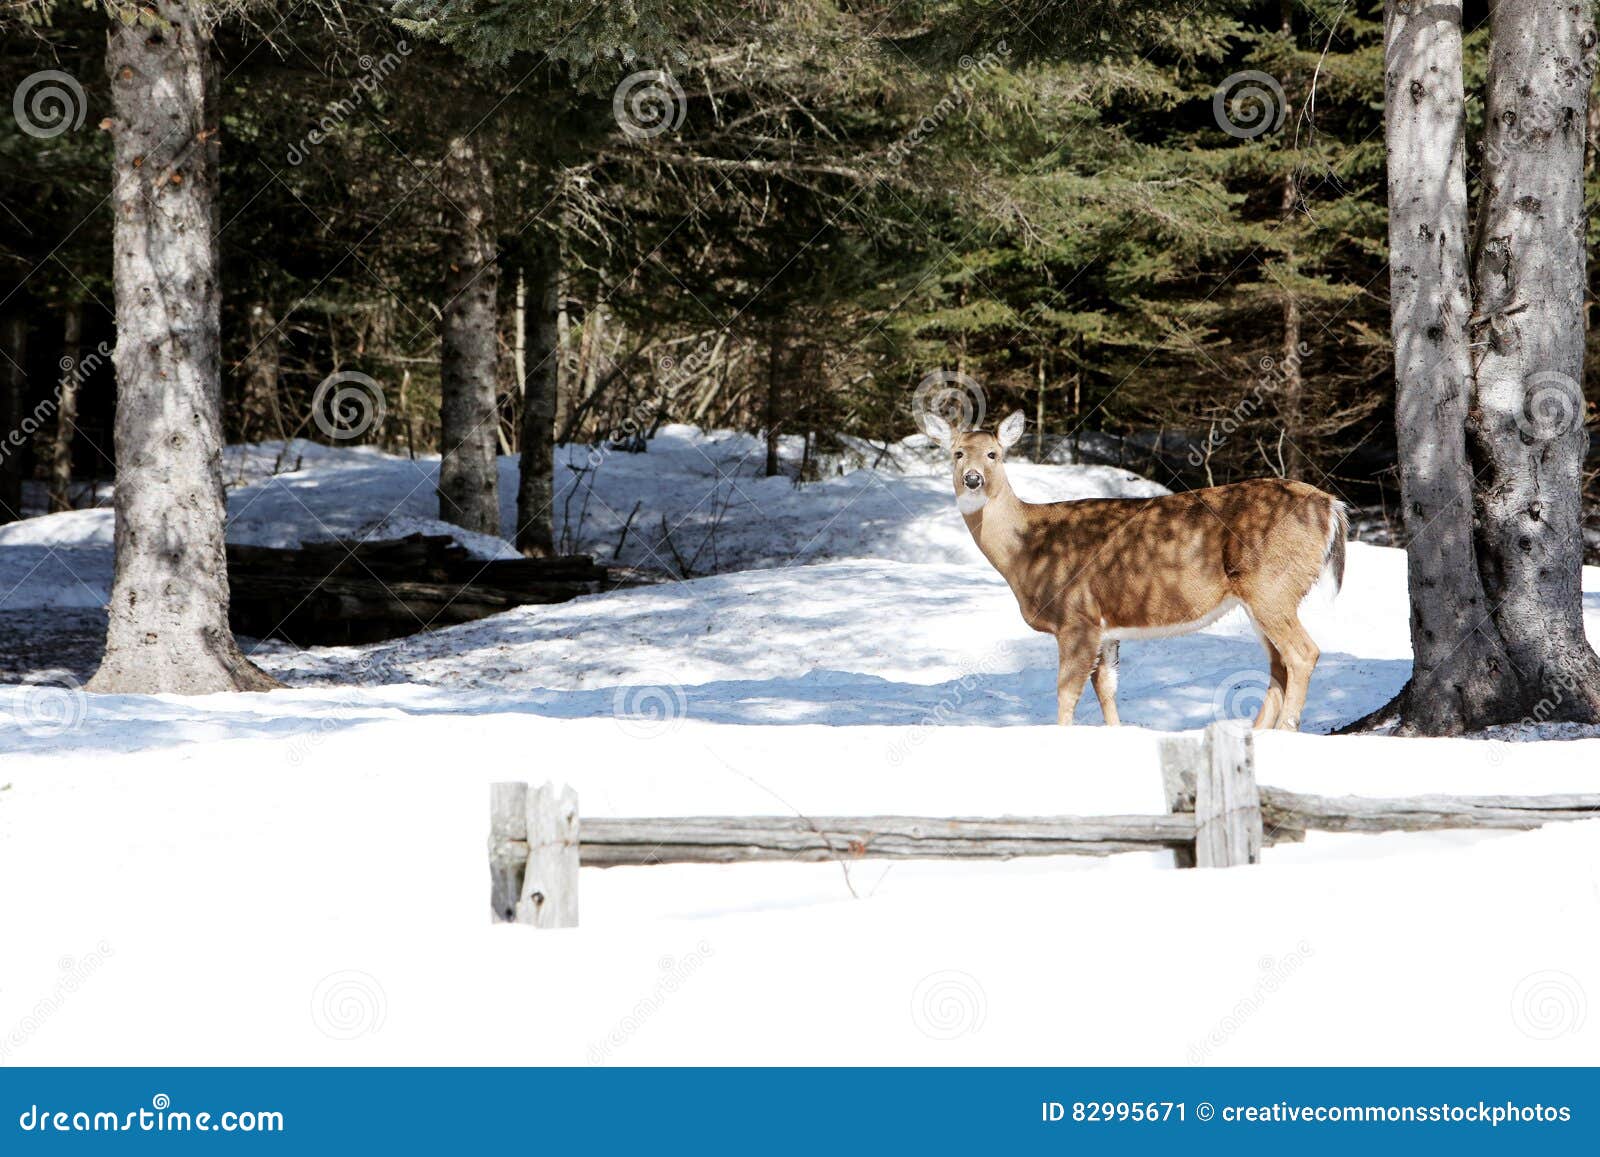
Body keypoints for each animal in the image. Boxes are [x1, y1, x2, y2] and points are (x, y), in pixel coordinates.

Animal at [921, 409, 1347, 730]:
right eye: (957, 453)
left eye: (994, 454)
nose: (972, 479)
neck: (1026, 549)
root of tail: (1332, 506)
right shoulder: (1105, 628)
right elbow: (1107, 689)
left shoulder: (1076, 617)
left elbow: (1065, 693)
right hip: (1261, 596)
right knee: (1278, 664)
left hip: (1273, 584)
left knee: (1303, 653)